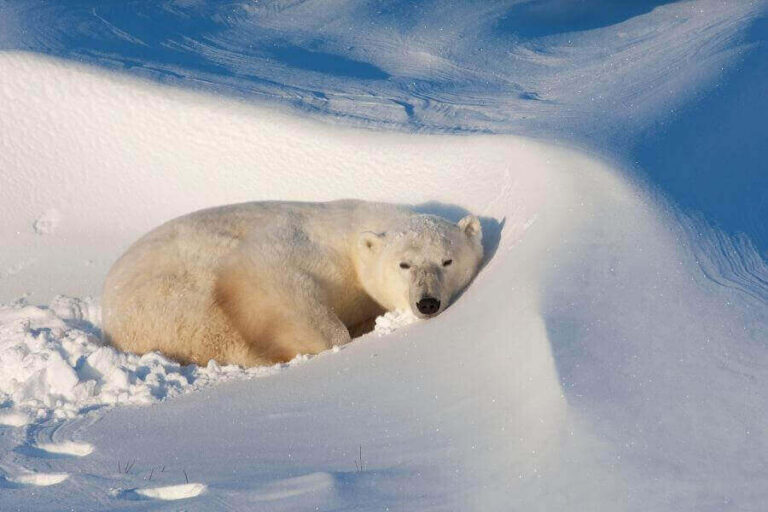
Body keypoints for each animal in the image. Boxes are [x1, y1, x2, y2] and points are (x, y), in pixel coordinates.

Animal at [101, 200, 483, 367]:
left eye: (447, 261)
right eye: (404, 264)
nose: (427, 302)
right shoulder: (298, 245)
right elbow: (272, 277)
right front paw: (333, 339)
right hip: (178, 294)